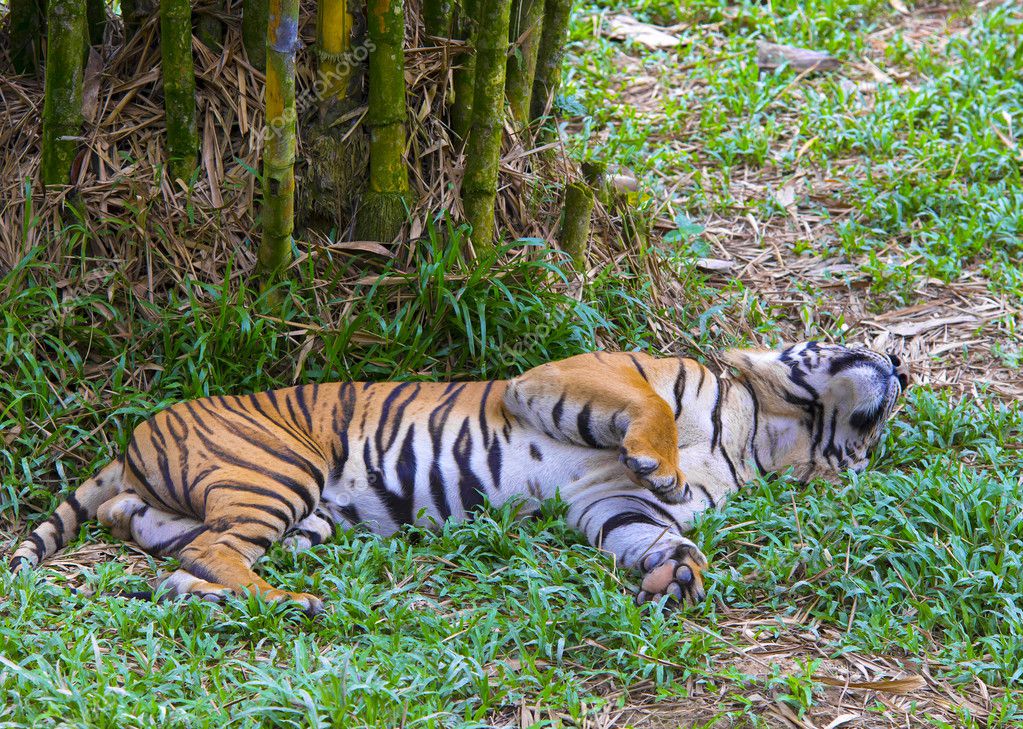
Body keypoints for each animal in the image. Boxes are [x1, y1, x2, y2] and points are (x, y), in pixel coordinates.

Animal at [10, 342, 908, 614]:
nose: (902, 363)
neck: (760, 433)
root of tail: (130, 438)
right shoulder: (576, 373)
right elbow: (648, 409)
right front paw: (662, 460)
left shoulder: (608, 500)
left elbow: (649, 532)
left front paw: (674, 572)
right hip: (278, 468)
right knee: (215, 551)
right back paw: (298, 602)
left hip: (272, 512)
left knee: (180, 549)